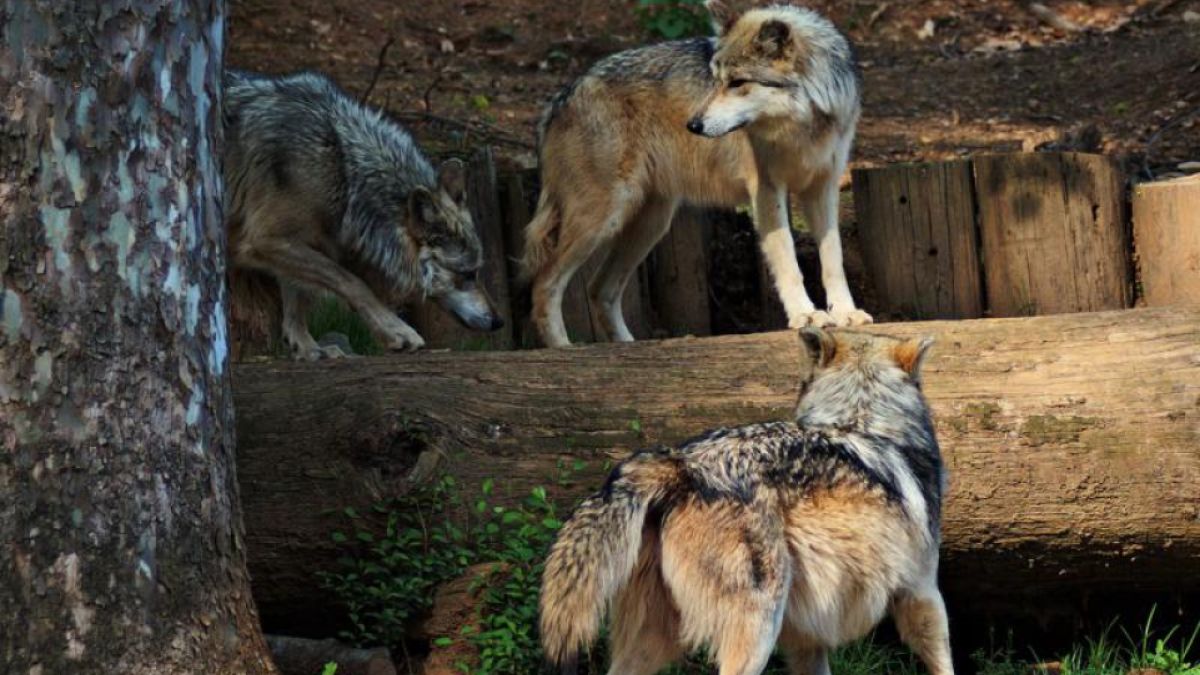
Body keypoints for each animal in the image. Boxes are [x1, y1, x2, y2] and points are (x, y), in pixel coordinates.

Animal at [223, 70, 503, 360]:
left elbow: (297, 301)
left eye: (478, 271)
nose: (498, 321)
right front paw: (395, 330)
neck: (345, 172)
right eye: (468, 274)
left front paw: (309, 349)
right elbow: (351, 281)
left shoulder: (297, 243)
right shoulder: (266, 240)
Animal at [520, 1, 872, 348]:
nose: (693, 125)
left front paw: (845, 312)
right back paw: (563, 349)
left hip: (650, 224)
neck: (802, 128)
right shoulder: (767, 191)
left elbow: (834, 260)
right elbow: (788, 261)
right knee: (544, 285)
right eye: (715, 79)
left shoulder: (824, 188)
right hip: (603, 218)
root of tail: (559, 98)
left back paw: (628, 346)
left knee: (598, 290)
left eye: (737, 82)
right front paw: (806, 314)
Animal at [540, 328, 951, 675]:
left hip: (655, 642)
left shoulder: (808, 635)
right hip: (757, 630)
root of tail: (680, 466)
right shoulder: (922, 592)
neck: (860, 419)